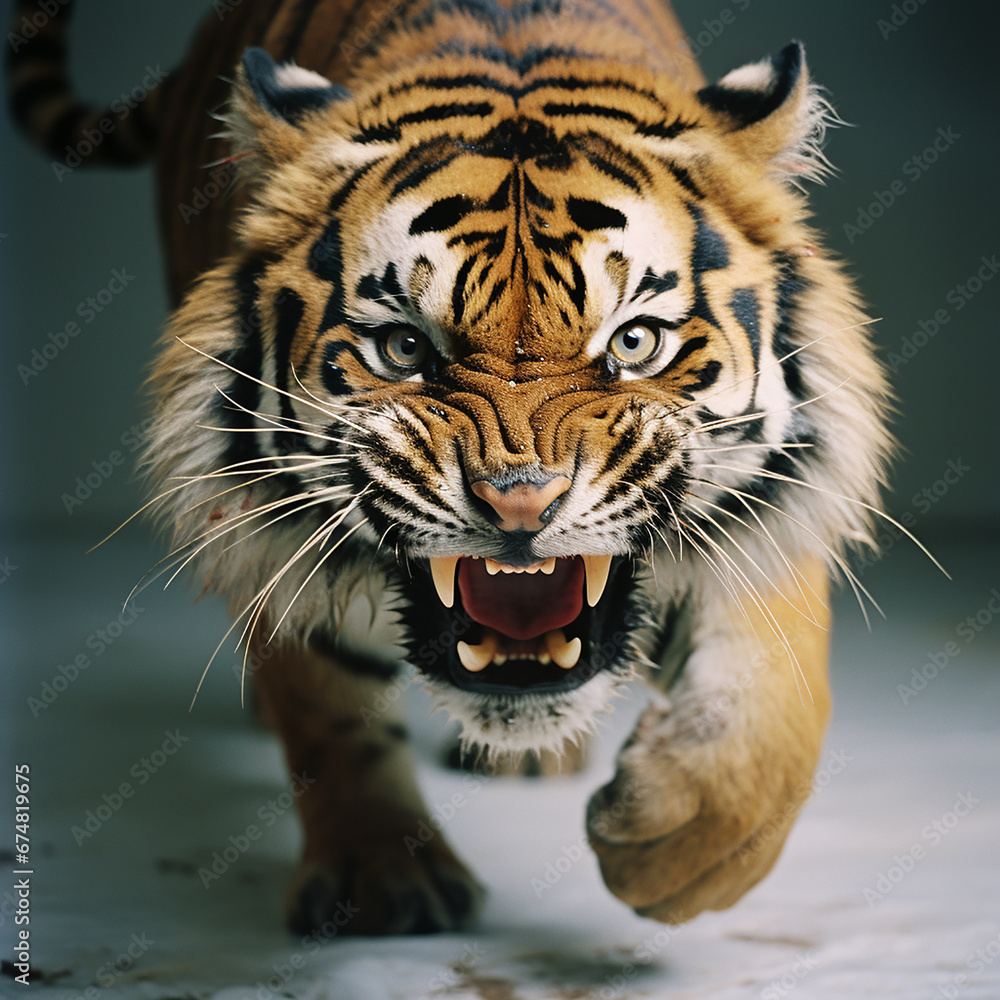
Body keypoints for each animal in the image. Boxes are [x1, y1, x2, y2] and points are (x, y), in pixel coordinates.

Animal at [9, 0, 893, 936]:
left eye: (634, 342)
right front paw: (380, 884)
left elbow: (775, 699)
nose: (521, 508)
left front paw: (675, 848)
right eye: (403, 349)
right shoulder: (266, 527)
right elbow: (327, 707)